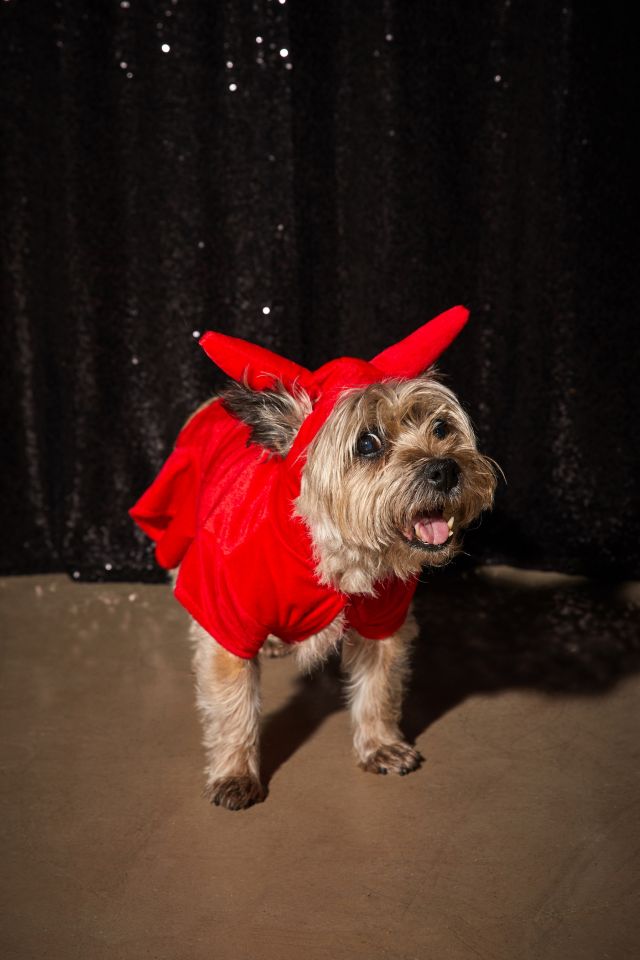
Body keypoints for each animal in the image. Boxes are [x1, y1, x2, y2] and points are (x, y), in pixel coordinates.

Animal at [130, 306, 498, 808]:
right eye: (367, 444)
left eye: (440, 428)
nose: (445, 468)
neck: (326, 551)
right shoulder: (225, 621)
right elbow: (232, 707)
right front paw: (235, 772)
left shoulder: (383, 623)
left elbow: (379, 689)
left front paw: (379, 744)